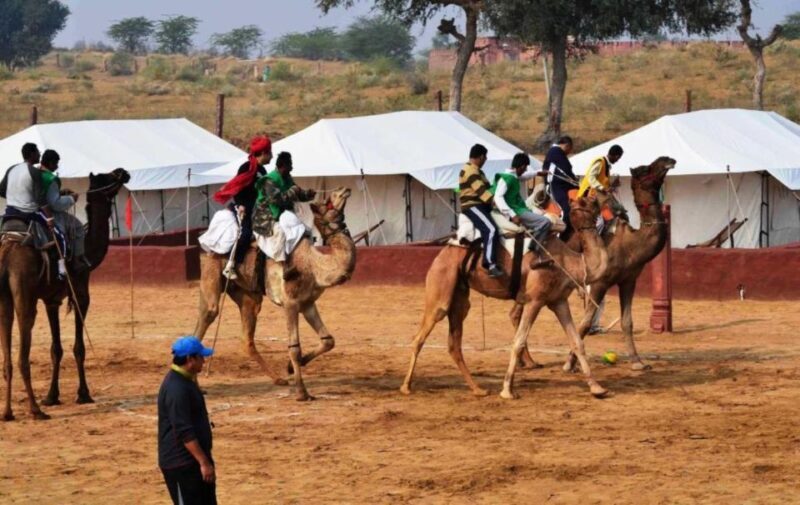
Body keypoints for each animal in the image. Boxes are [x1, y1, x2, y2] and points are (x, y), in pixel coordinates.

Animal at [1, 168, 130, 420]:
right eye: (106, 178)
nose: (123, 172)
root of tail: (8, 250)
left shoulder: (52, 300)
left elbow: (56, 349)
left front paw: (52, 396)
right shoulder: (80, 293)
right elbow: (78, 347)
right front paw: (83, 394)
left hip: (5, 300)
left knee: (8, 355)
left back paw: (8, 412)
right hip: (24, 293)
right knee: (23, 352)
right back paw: (35, 410)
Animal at [194, 187, 356, 401]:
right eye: (329, 200)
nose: (344, 189)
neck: (314, 264)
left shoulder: (308, 303)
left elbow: (328, 340)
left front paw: (291, 368)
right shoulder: (291, 302)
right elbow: (294, 347)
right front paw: (302, 392)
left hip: (248, 295)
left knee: (247, 336)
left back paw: (278, 379)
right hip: (211, 267)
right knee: (209, 313)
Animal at [400, 197, 610, 399]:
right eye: (587, 201)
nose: (606, 205)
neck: (567, 262)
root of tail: (442, 252)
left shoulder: (558, 301)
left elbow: (577, 342)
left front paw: (597, 388)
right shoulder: (535, 300)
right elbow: (518, 342)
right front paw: (507, 390)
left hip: (460, 296)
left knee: (454, 344)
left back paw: (478, 389)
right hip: (440, 284)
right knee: (422, 334)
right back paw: (406, 387)